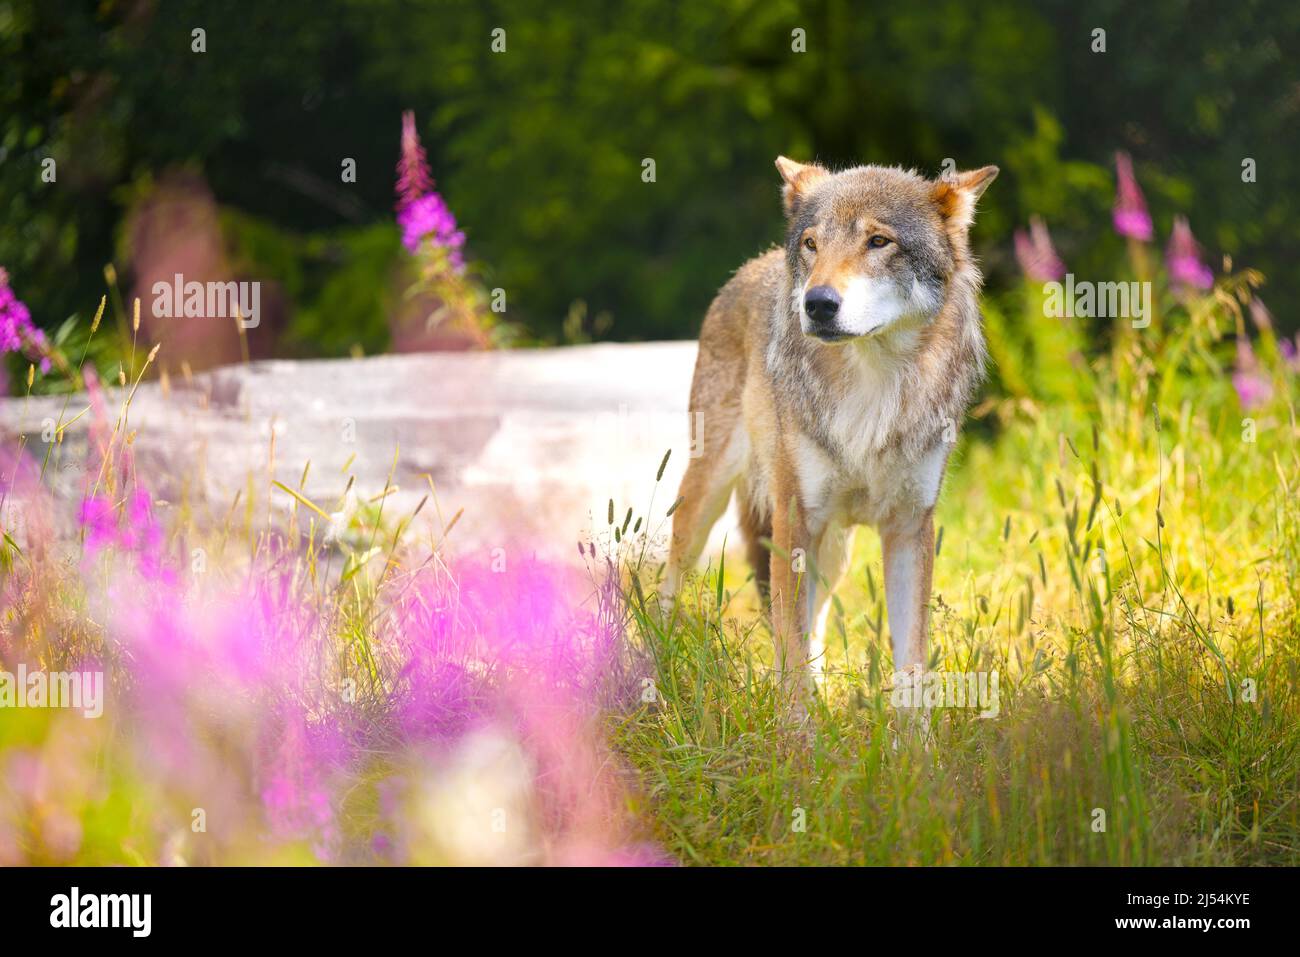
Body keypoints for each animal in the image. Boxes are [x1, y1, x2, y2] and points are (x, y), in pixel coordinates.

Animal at [662, 156, 998, 718]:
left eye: (879, 242)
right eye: (812, 244)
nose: (817, 303)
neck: (873, 389)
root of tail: (753, 265)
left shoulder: (910, 527)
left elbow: (911, 665)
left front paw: (914, 744)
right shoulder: (794, 520)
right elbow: (790, 653)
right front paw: (798, 737)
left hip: (834, 550)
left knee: (814, 622)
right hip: (707, 499)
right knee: (671, 580)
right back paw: (655, 672)